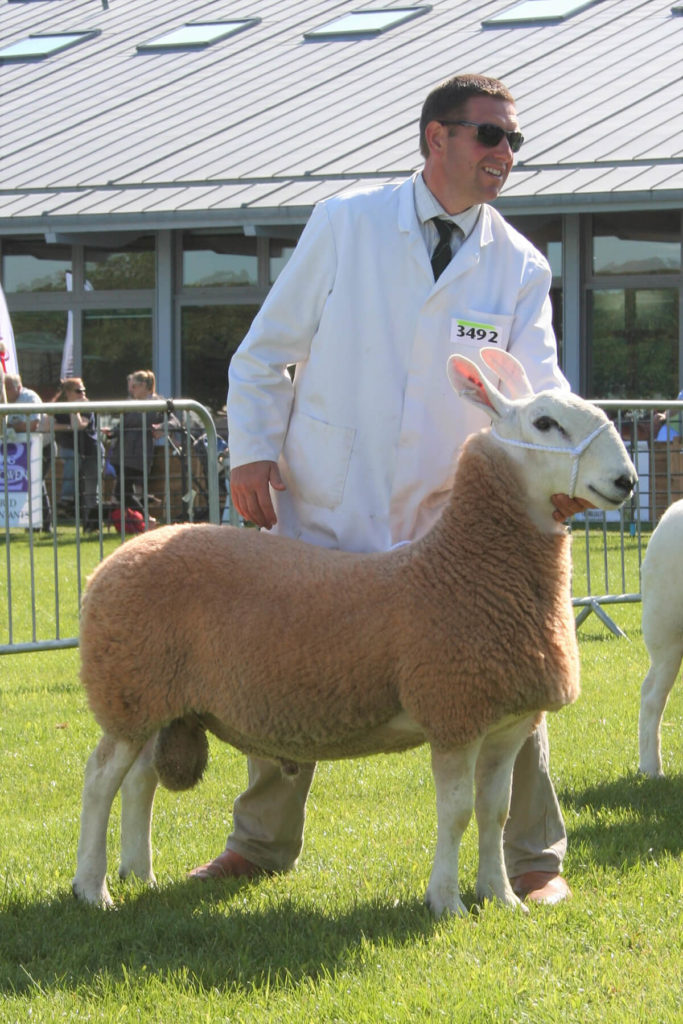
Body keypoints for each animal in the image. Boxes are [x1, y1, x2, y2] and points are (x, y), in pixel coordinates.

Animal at [72, 347, 637, 917]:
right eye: (545, 423)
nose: (627, 482)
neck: (461, 568)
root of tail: (113, 562)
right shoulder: (452, 713)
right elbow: (457, 813)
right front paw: (446, 903)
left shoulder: (507, 721)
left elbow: (494, 813)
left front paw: (501, 897)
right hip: (128, 687)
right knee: (99, 780)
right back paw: (93, 889)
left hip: (155, 695)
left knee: (139, 781)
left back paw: (140, 874)